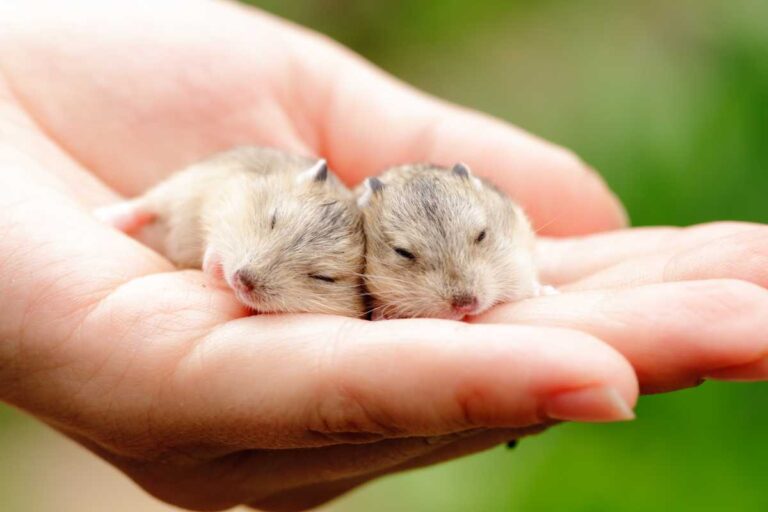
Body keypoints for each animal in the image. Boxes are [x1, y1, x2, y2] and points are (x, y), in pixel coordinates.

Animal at [95, 146, 365, 317]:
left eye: (323, 277)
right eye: (273, 219)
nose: (241, 280)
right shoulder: (227, 194)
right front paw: (213, 266)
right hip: (179, 187)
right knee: (143, 206)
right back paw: (102, 218)